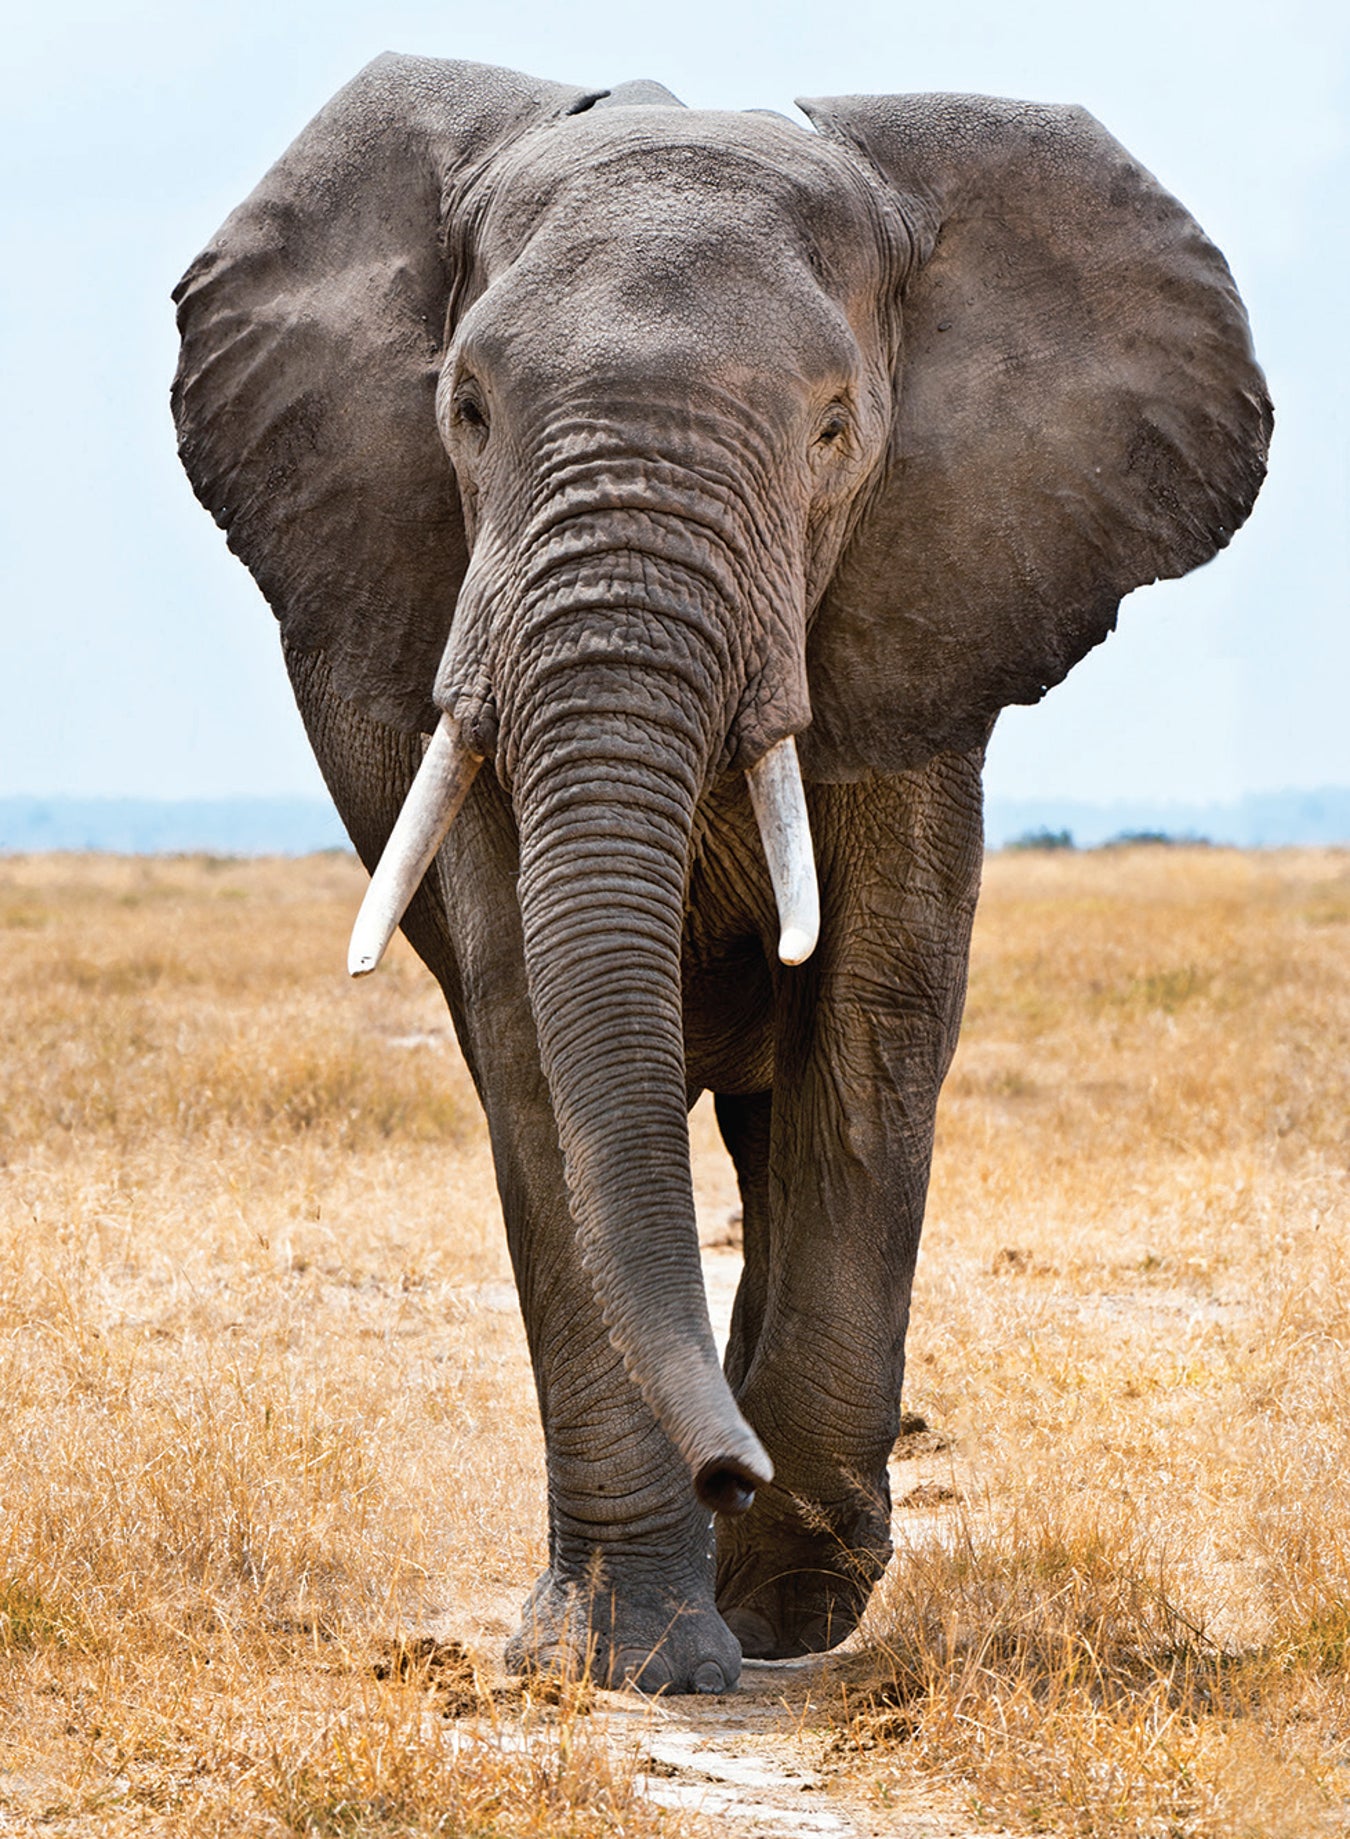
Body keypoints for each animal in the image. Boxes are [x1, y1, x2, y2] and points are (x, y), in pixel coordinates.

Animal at [172, 55, 1269, 1695]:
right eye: (468, 409)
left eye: (834, 432)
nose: (726, 1471)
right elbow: (533, 1036)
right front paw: (624, 1652)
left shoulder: (915, 617)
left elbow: (876, 1021)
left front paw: (783, 1601)